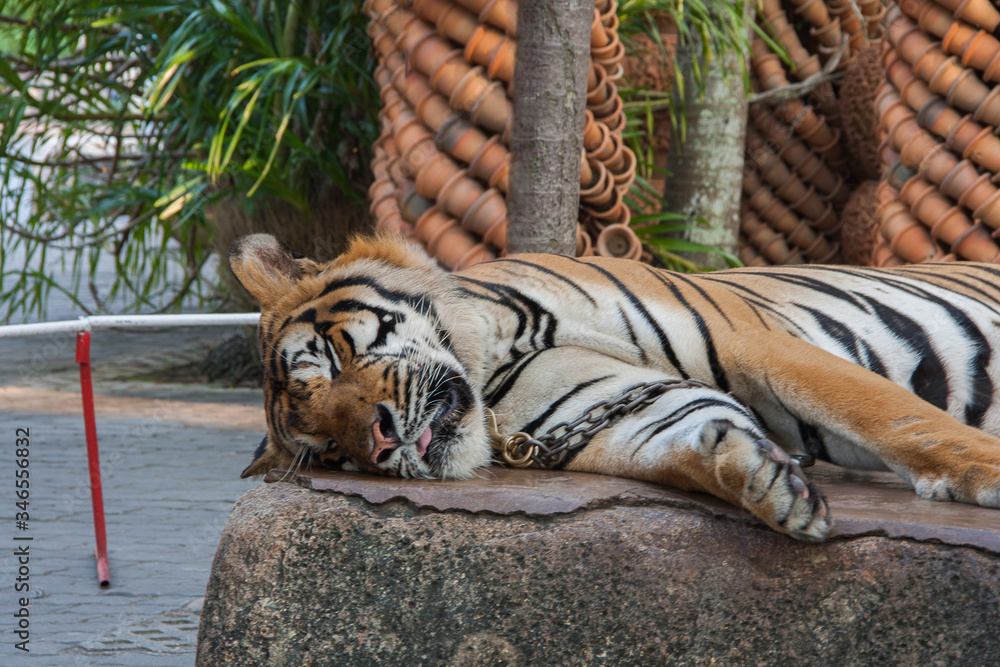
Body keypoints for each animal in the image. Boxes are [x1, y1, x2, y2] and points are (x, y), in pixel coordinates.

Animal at [230, 232, 1000, 541]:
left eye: (330, 358)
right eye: (331, 452)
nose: (382, 441)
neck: (493, 361)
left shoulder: (756, 341)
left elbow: (896, 416)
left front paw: (987, 474)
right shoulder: (610, 407)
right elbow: (685, 436)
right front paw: (762, 480)